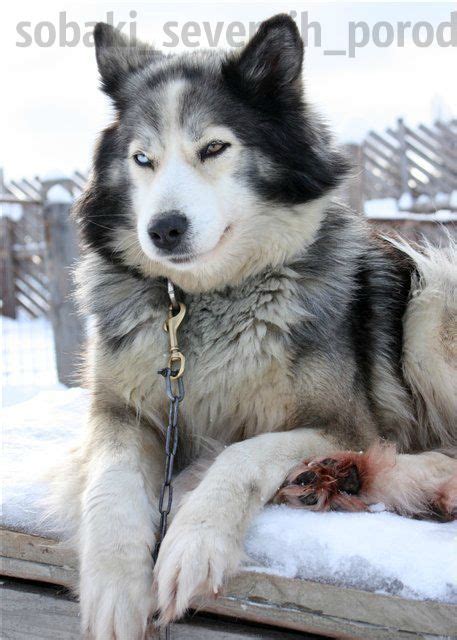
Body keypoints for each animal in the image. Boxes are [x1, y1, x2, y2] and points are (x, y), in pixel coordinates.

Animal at [50, 12, 456, 636]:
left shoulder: (345, 423)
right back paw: (335, 478)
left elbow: (243, 454)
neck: (208, 299)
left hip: (431, 302)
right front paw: (114, 586)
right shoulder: (120, 411)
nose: (163, 229)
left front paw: (193, 544)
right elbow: (110, 483)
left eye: (215, 147)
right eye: (142, 159)